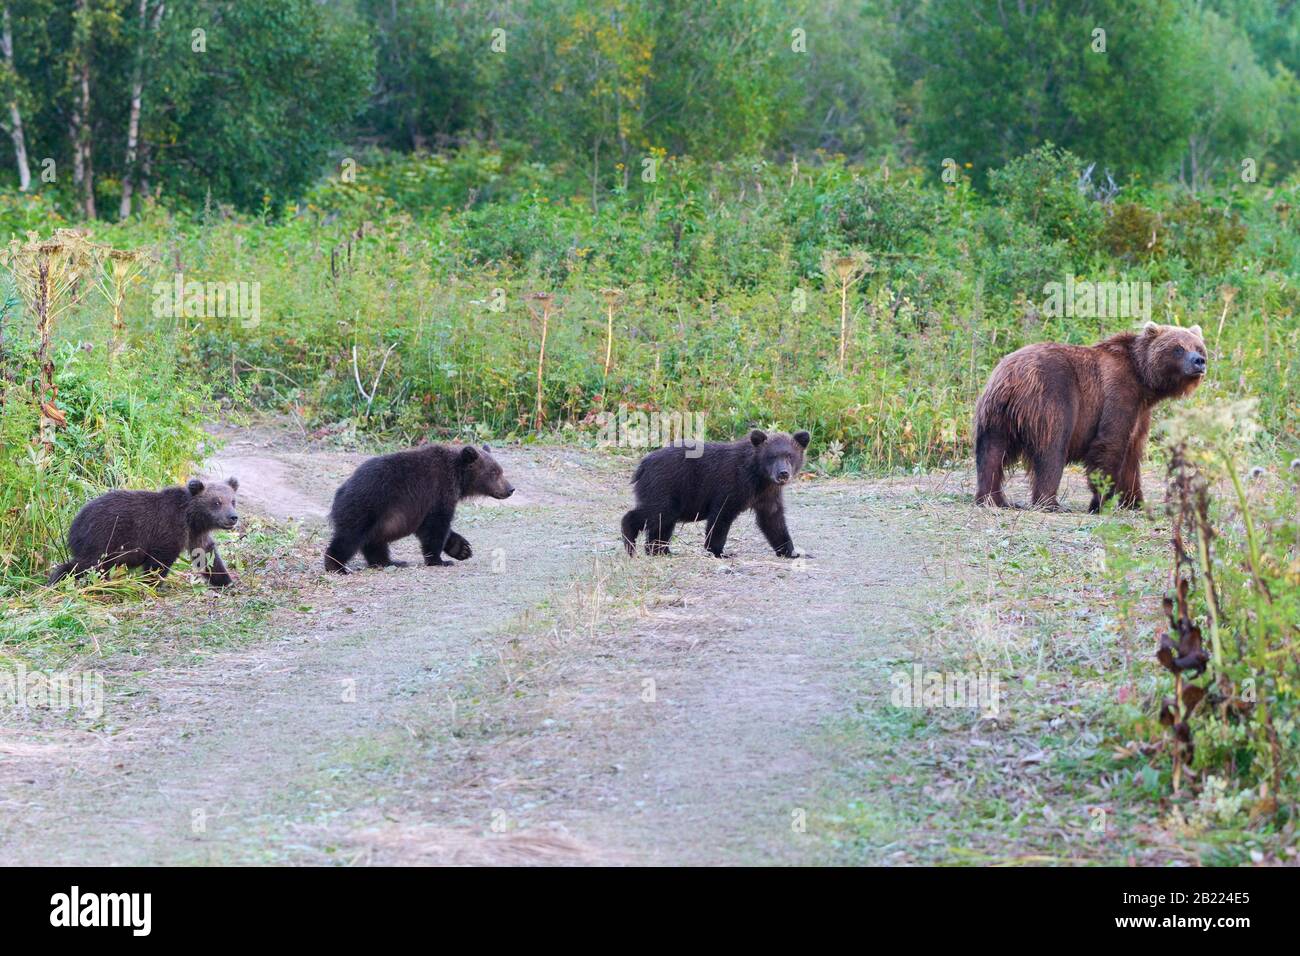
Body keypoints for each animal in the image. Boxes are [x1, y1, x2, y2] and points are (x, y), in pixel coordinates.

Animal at [48, 478, 241, 587]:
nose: (233, 517)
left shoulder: (196, 535)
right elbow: (159, 561)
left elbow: (207, 555)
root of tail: (74, 523)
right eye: (217, 502)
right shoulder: (167, 530)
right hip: (102, 539)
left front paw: (225, 580)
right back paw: (56, 579)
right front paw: (152, 583)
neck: (191, 518)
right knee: (87, 565)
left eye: (233, 501)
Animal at [323, 443, 514, 573]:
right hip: (366, 505)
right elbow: (435, 527)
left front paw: (462, 549)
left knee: (374, 542)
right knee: (349, 537)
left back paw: (391, 562)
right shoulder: (437, 492)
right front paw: (440, 560)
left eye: (501, 470)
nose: (510, 489)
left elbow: (434, 528)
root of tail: (340, 491)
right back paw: (336, 566)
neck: (458, 479)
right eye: (494, 472)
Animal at [620, 429, 811, 558]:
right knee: (656, 512)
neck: (759, 477)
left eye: (789, 455)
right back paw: (631, 544)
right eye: (772, 456)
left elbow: (773, 520)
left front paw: (791, 551)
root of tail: (643, 465)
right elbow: (721, 517)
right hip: (665, 486)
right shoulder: (732, 485)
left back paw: (661, 550)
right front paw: (718, 551)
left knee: (662, 522)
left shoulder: (767, 495)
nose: (783, 473)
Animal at [974, 321, 1207, 513]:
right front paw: (1101, 502)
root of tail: (1012, 376)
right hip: (1052, 397)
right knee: (1052, 449)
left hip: (995, 415)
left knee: (991, 453)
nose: (1199, 361)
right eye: (1178, 348)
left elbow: (1133, 453)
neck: (1144, 380)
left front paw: (1136, 502)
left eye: (1198, 347)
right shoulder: (1118, 393)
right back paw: (1050, 503)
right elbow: (1110, 443)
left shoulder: (1140, 412)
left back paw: (993, 499)